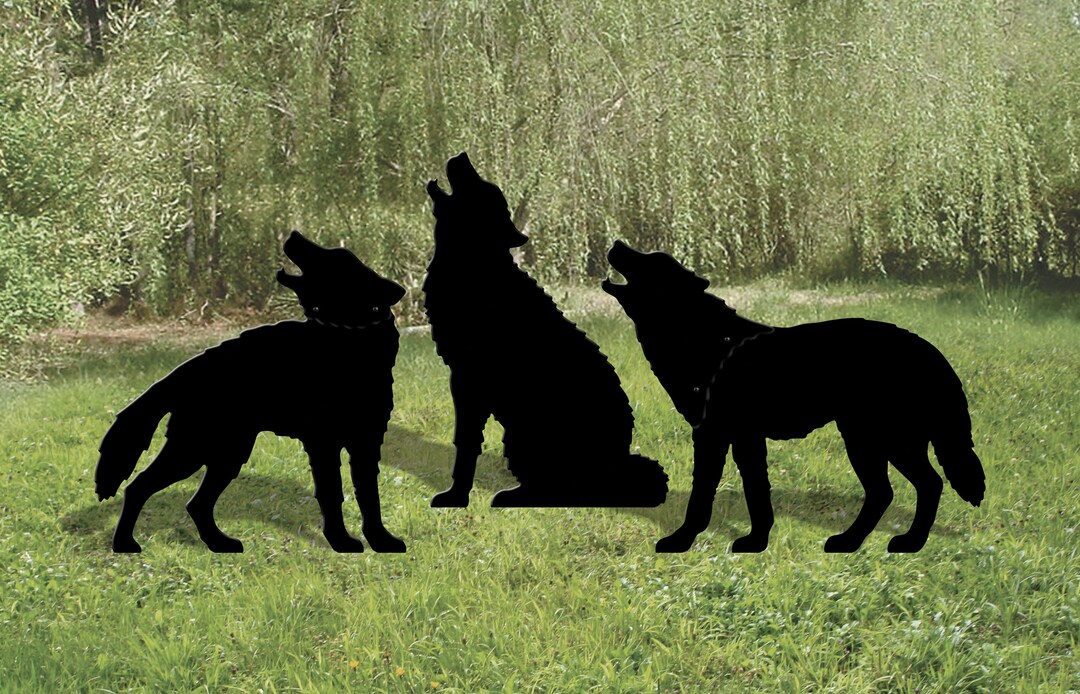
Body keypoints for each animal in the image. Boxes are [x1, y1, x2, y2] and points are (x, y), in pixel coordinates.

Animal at [95, 231, 407, 553]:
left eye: (334, 257)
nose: (293, 234)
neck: (346, 337)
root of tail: (184, 371)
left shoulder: (366, 442)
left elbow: (369, 496)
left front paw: (380, 540)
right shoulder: (325, 444)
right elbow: (333, 494)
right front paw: (341, 541)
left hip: (227, 452)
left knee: (196, 504)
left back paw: (219, 543)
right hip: (195, 449)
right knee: (139, 487)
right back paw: (124, 544)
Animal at [422, 153, 667, 507]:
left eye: (484, 188)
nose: (463, 155)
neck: (473, 265)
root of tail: (618, 465)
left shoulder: (467, 380)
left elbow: (465, 443)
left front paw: (456, 497)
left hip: (523, 436)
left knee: (558, 490)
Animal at [603, 240, 985, 553]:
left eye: (651, 260)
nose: (617, 242)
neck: (707, 341)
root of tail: (926, 349)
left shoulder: (715, 437)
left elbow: (703, 497)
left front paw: (682, 541)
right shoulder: (743, 440)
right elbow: (757, 493)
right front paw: (756, 543)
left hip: (886, 440)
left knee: (926, 485)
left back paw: (909, 542)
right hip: (866, 440)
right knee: (885, 492)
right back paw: (849, 542)